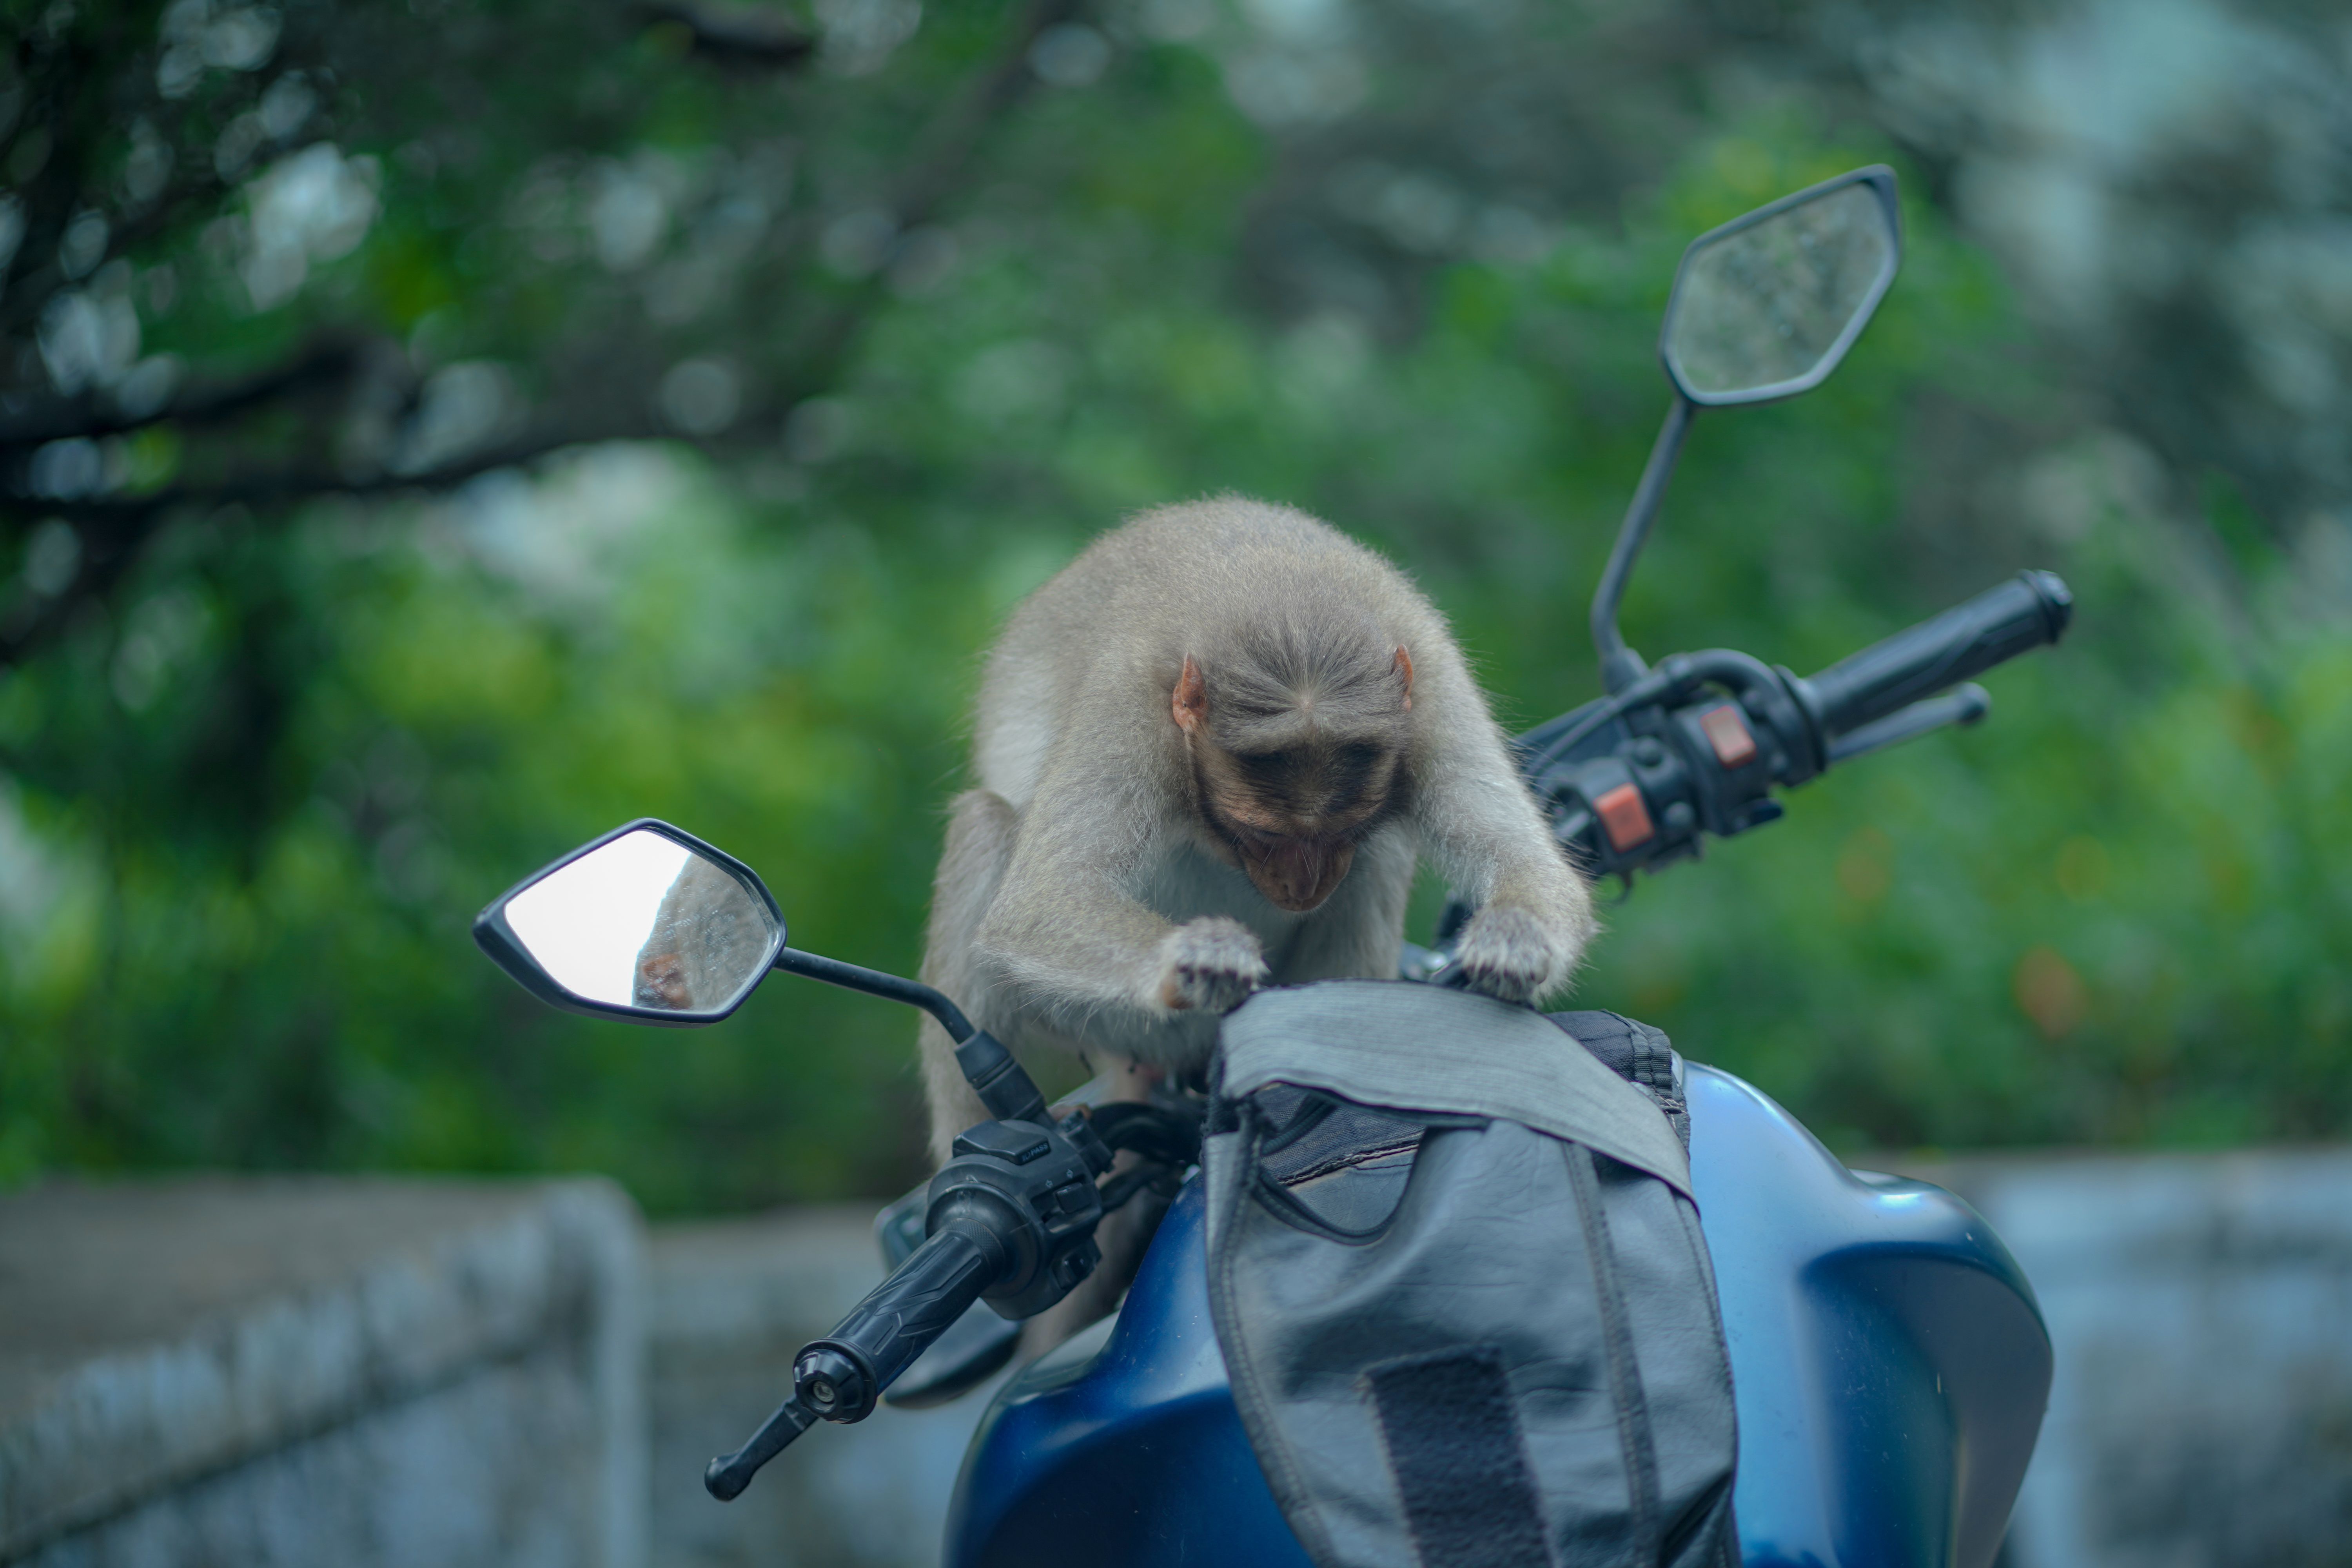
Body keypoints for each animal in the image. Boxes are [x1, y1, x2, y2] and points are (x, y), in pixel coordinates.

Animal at [916, 497, 1597, 1175]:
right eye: (1258, 834)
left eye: (1342, 830)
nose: (1305, 886)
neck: (1279, 584)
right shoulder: (1128, 708)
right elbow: (1039, 903)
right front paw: (1198, 957)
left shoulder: (1433, 690)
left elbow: (1527, 863)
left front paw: (1516, 943)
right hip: (1116, 1023)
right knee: (984, 824)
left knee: (1384, 853)